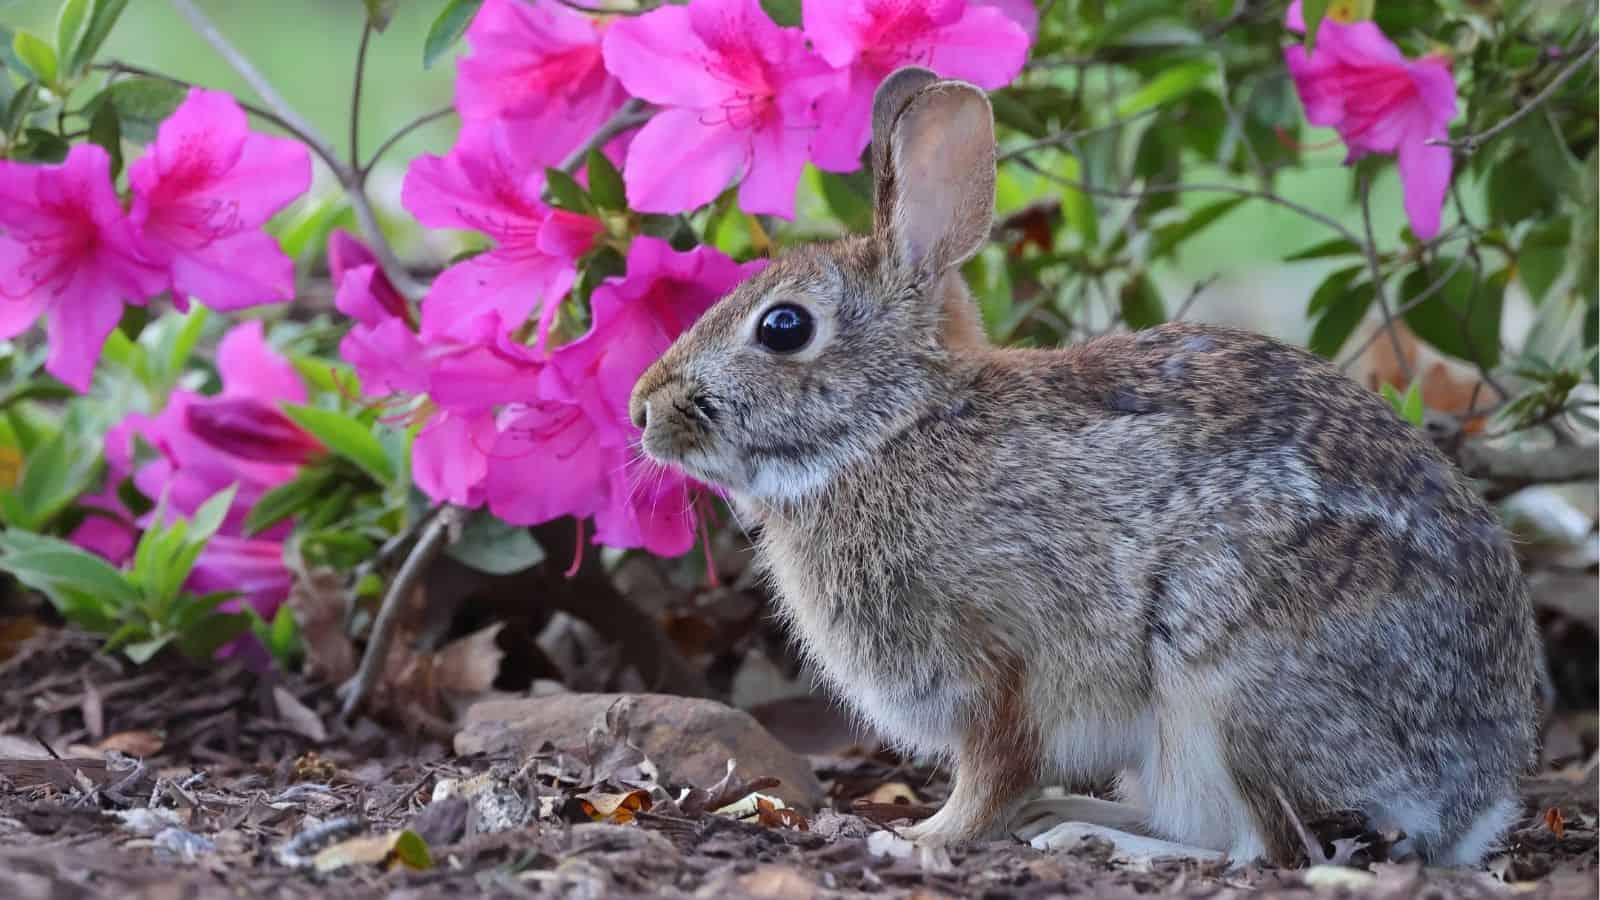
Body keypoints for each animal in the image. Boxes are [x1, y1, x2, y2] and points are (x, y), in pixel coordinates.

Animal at [628, 66, 1541, 867]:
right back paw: (1075, 815)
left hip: (1228, 689)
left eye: (784, 328)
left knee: (1266, 847)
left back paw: (1088, 838)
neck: (895, 427)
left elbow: (991, 777)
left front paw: (919, 837)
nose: (642, 409)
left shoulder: (998, 671)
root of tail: (1472, 798)